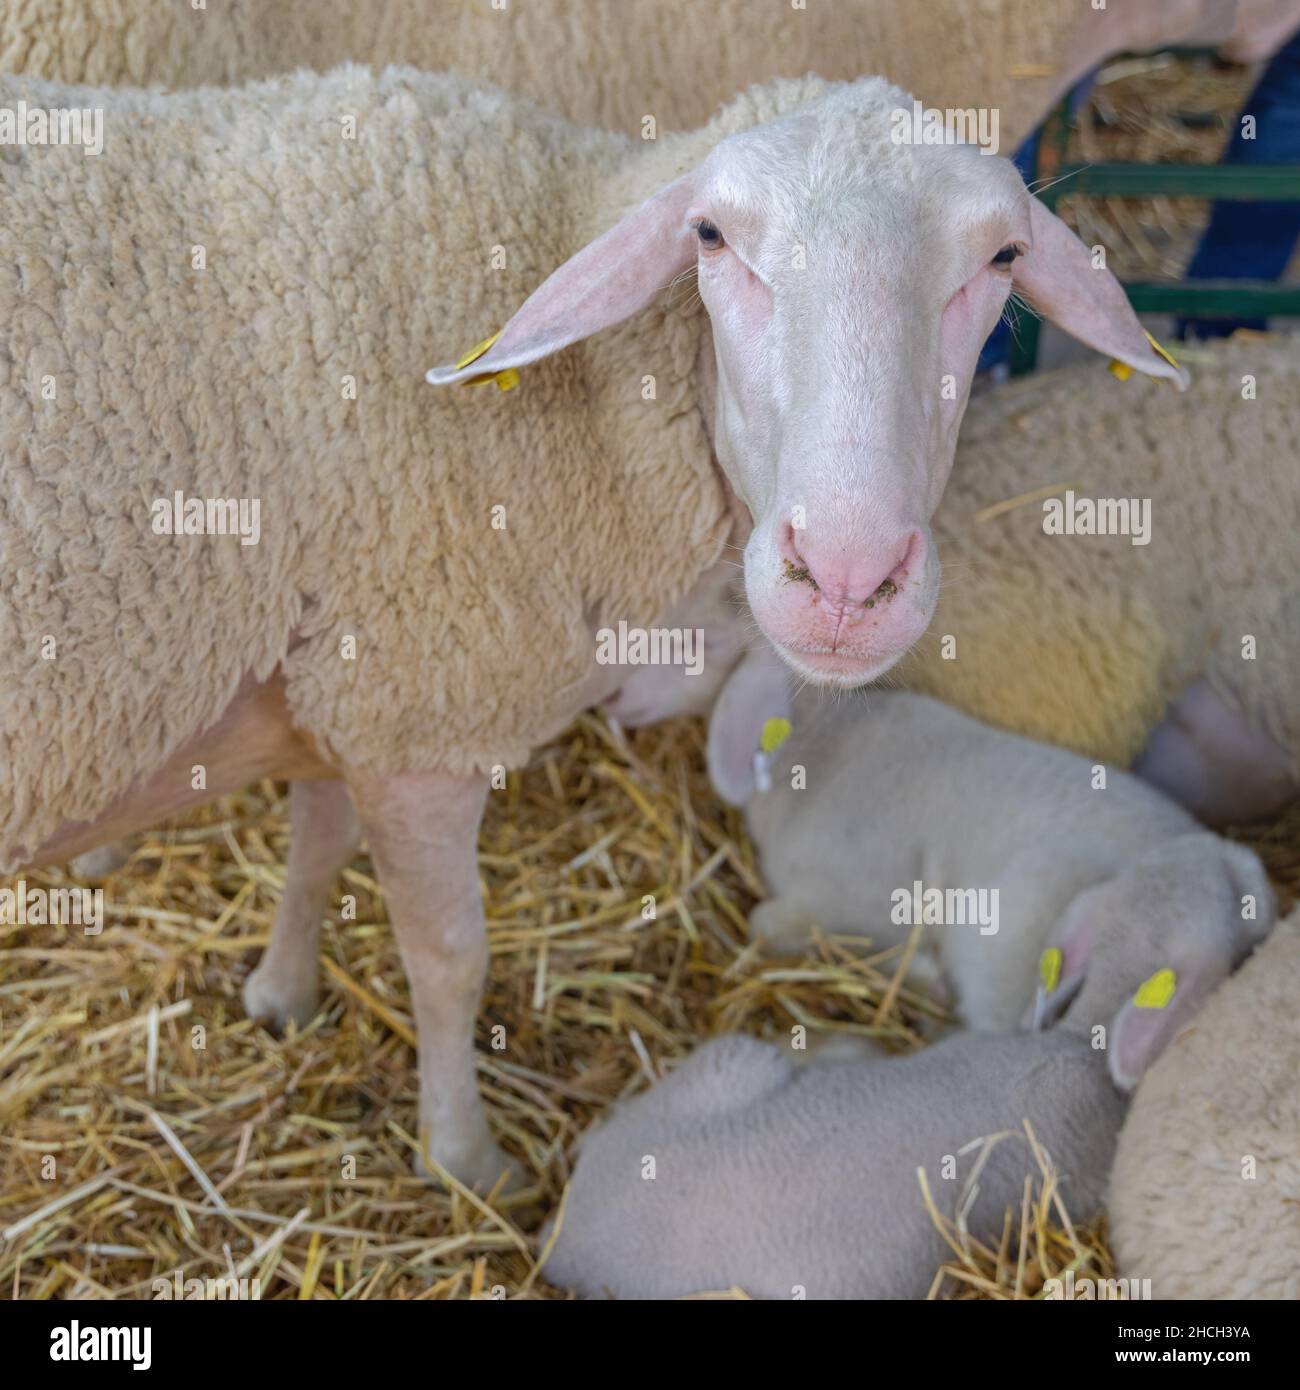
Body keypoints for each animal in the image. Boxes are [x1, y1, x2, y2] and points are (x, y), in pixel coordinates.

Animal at [1, 64, 1180, 1186]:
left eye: (1004, 255)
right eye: (711, 236)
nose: (847, 577)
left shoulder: (349, 680)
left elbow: (317, 843)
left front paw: (282, 990)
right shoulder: (429, 711)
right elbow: (450, 960)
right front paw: (466, 1158)